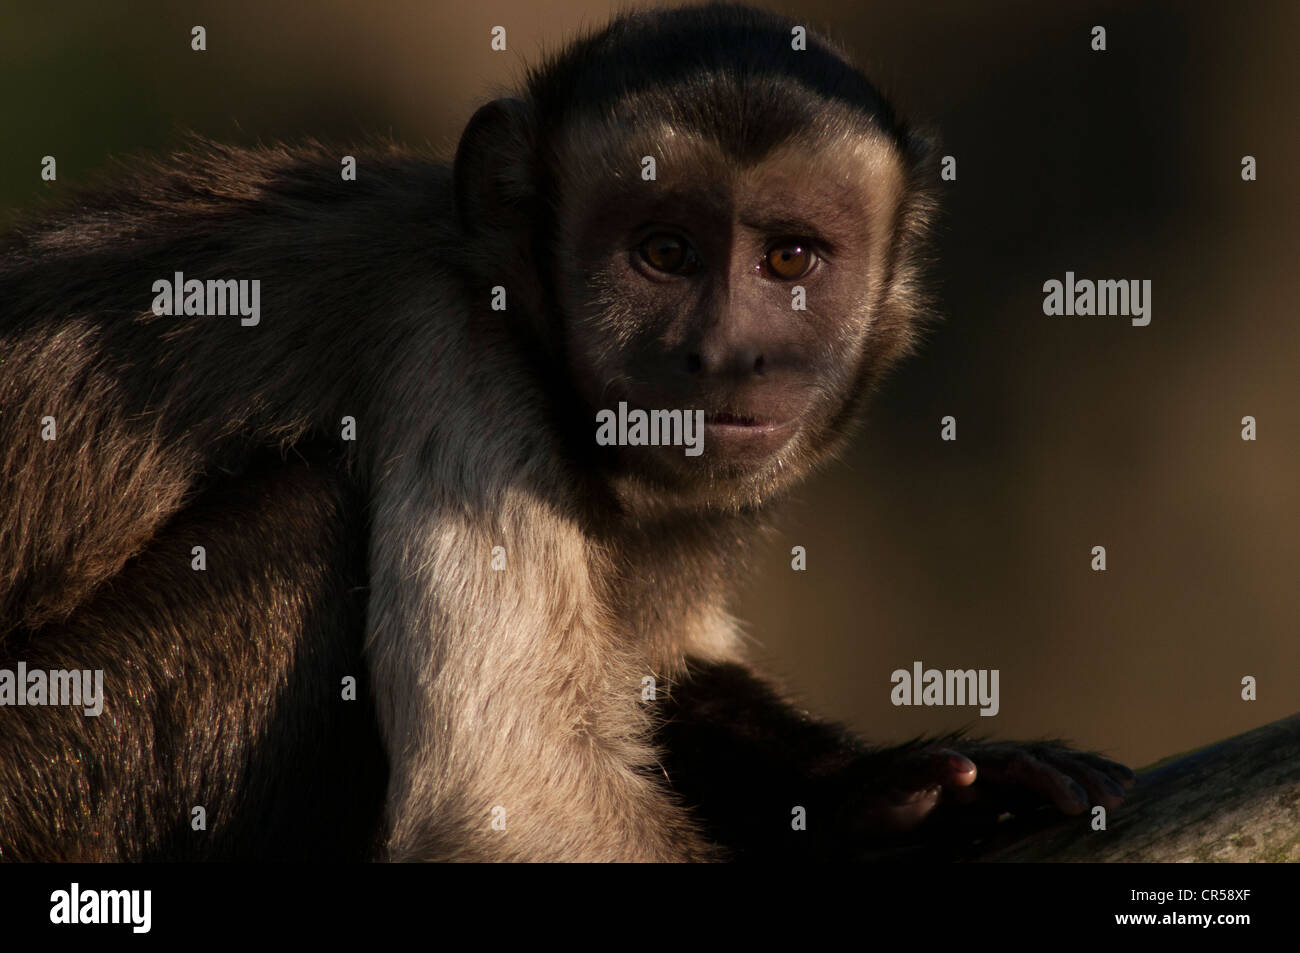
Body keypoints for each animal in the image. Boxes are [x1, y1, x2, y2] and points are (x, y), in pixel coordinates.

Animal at [0, 3, 1134, 862]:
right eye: (664, 252)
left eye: (790, 260)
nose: (728, 352)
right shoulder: (455, 349)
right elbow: (515, 807)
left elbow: (667, 663)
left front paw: (888, 789)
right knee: (310, 518)